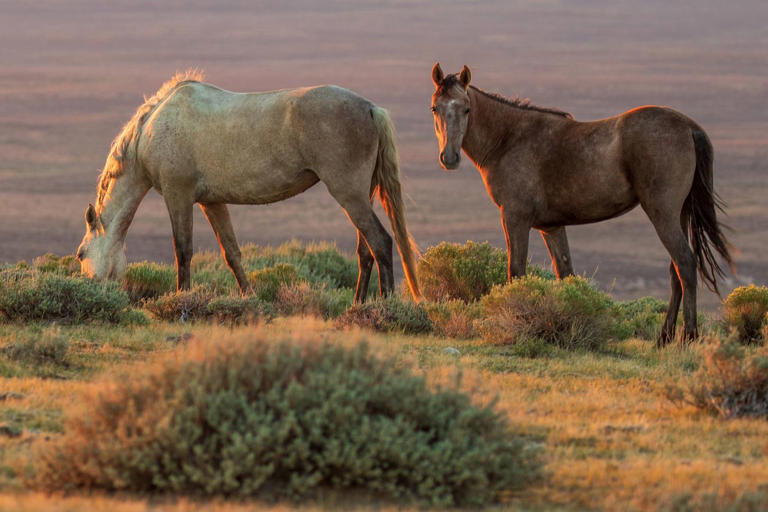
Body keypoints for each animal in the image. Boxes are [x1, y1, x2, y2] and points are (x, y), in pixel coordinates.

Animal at [76, 70, 421, 303]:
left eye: (80, 255)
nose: (91, 290)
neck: (151, 130)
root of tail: (370, 108)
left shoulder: (178, 196)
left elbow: (183, 250)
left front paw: (182, 296)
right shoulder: (212, 202)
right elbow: (232, 252)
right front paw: (249, 296)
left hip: (348, 194)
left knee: (381, 242)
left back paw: (384, 306)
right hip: (361, 196)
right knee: (366, 250)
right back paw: (357, 305)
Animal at [429, 63, 732, 344]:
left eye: (467, 109)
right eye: (435, 108)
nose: (450, 158)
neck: (508, 140)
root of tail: (689, 127)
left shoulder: (515, 219)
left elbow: (516, 271)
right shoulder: (551, 227)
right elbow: (565, 274)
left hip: (662, 214)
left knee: (685, 263)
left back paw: (689, 336)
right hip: (680, 214)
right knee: (675, 271)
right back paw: (664, 338)